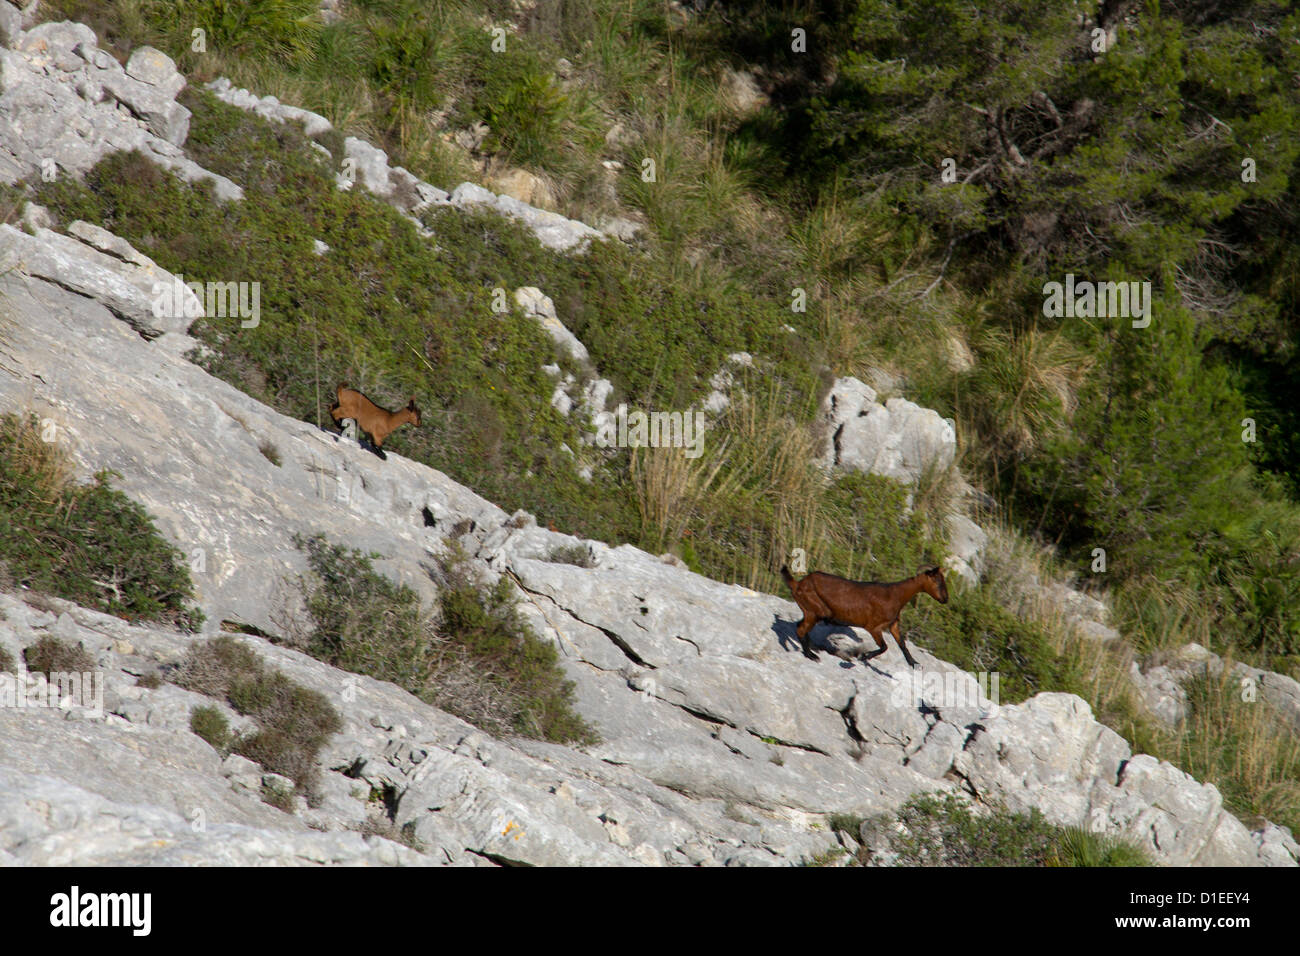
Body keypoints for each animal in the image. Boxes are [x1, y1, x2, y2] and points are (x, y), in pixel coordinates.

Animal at [780, 565, 948, 666]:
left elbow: (902, 644)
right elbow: (884, 647)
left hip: (810, 611)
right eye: (938, 581)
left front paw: (914, 663)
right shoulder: (873, 627)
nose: (945, 599)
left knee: (800, 626)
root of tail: (798, 584)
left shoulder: (893, 624)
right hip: (816, 611)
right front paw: (864, 656)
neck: (894, 595)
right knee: (801, 629)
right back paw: (811, 655)